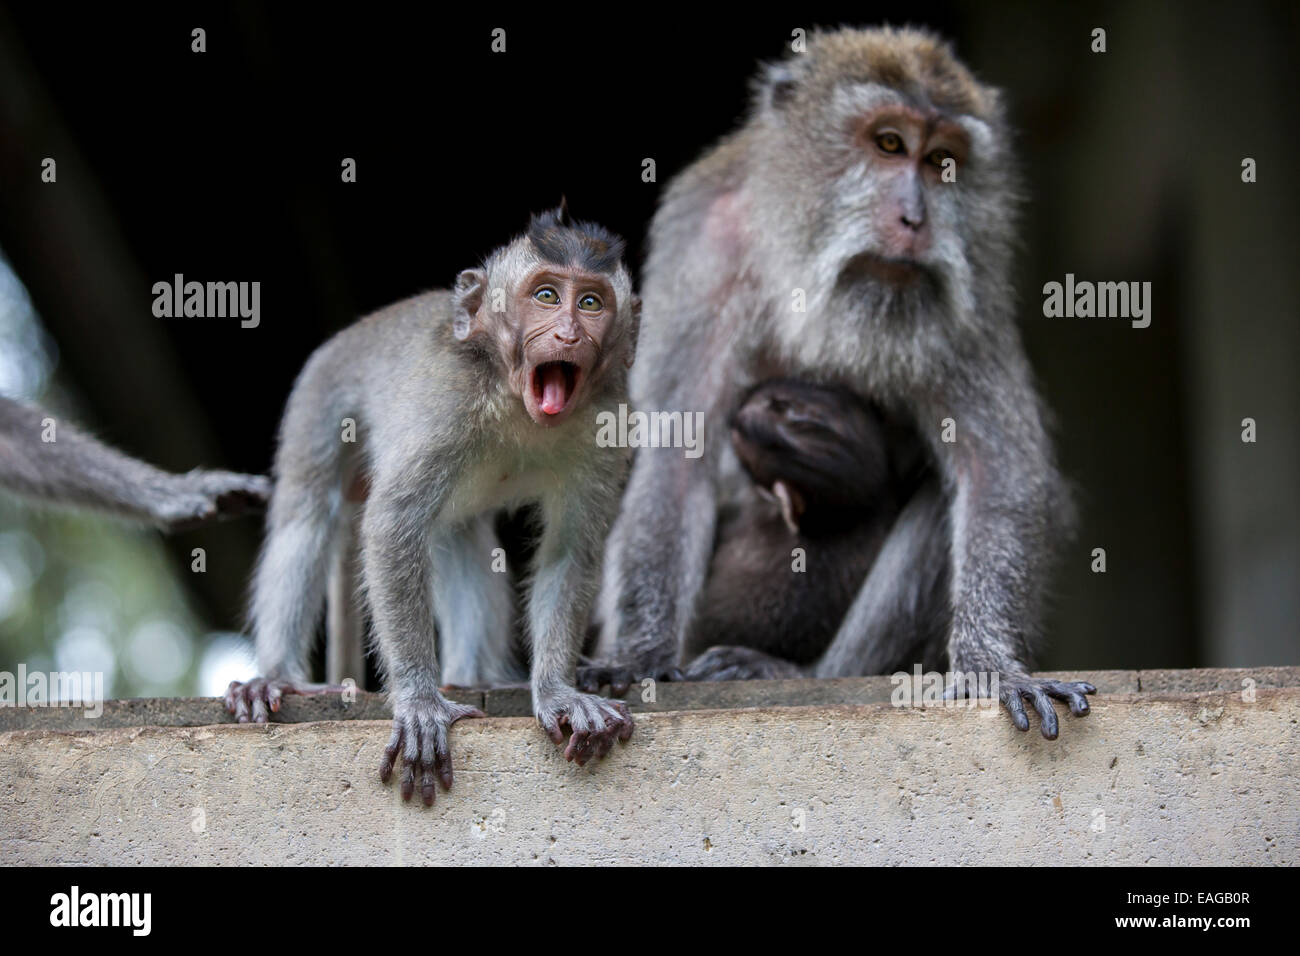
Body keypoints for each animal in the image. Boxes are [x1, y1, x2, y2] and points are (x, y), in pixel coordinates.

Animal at [224, 206, 640, 805]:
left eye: (590, 303)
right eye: (545, 295)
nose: (569, 333)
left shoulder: (609, 426)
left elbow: (570, 553)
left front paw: (558, 691)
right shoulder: (447, 400)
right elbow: (391, 524)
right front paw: (420, 703)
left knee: (460, 535)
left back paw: (473, 675)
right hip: (319, 391)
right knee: (308, 512)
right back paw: (275, 676)